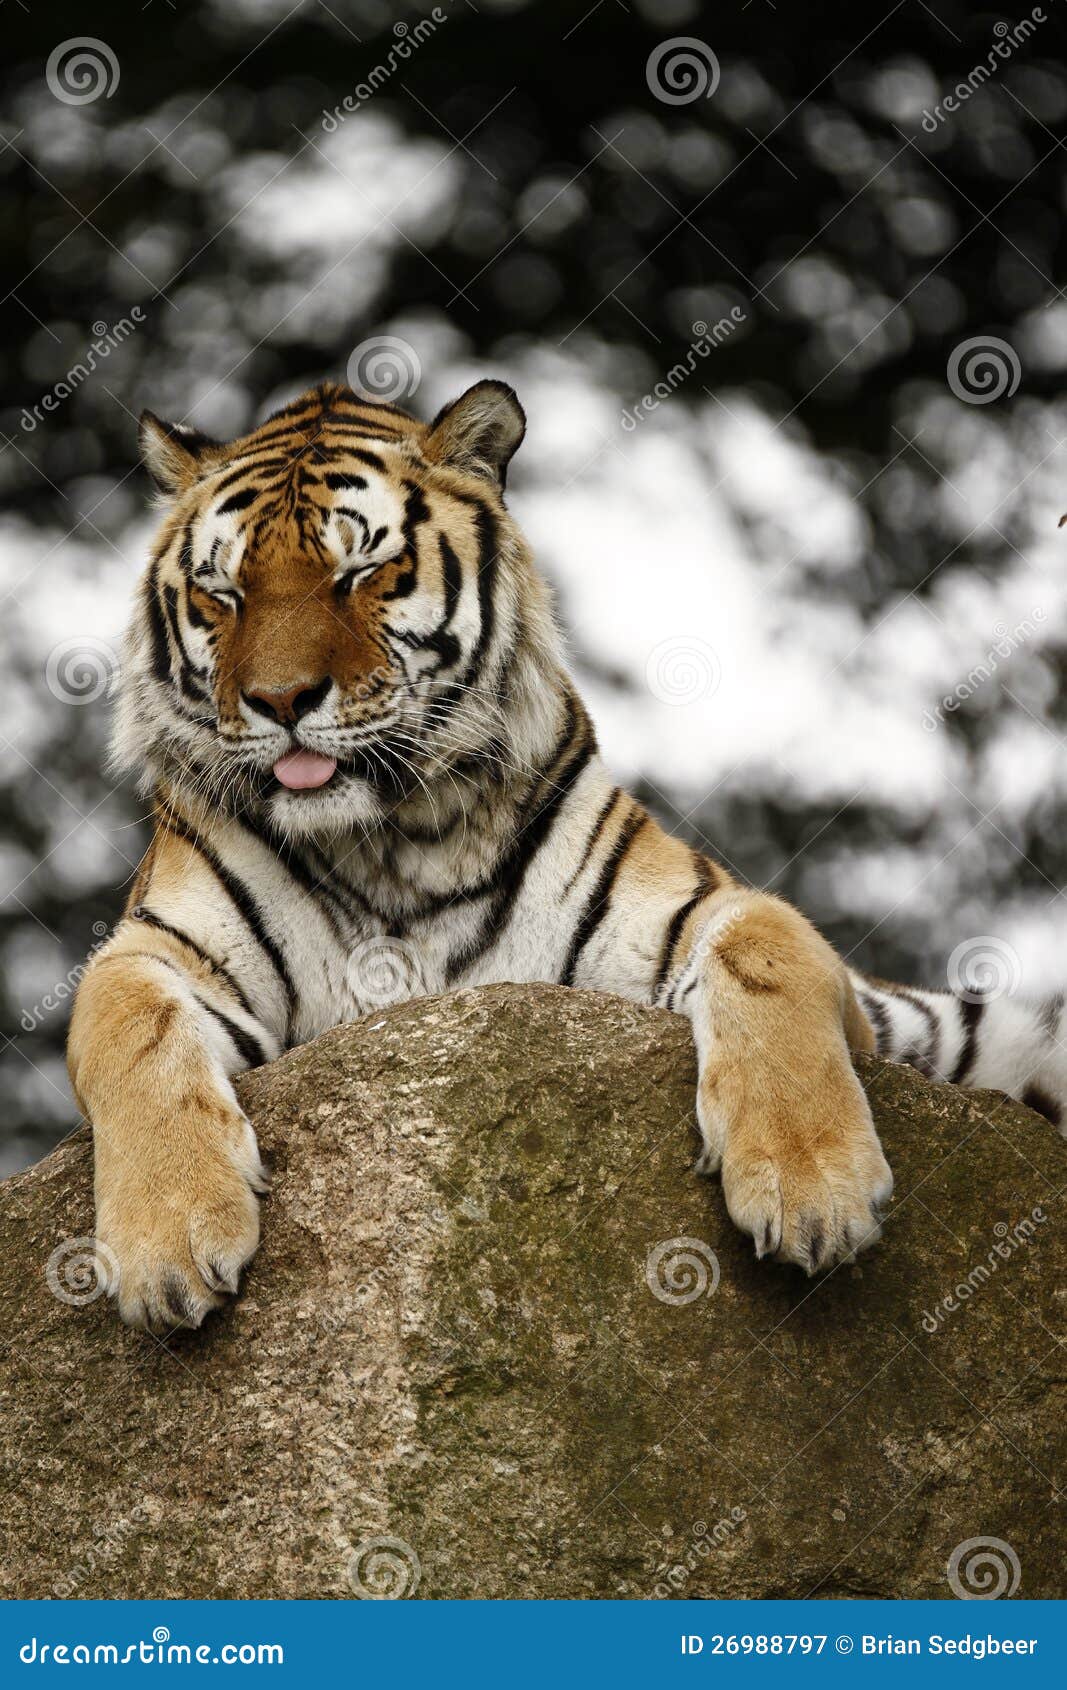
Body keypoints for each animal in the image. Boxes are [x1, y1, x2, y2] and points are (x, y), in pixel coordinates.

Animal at [67, 378, 1067, 1331]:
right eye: (224, 592)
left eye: (363, 571)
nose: (280, 701)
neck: (388, 837)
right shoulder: (159, 947)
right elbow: (123, 1026)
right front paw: (169, 1241)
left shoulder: (682, 917)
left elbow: (768, 950)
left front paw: (812, 1185)